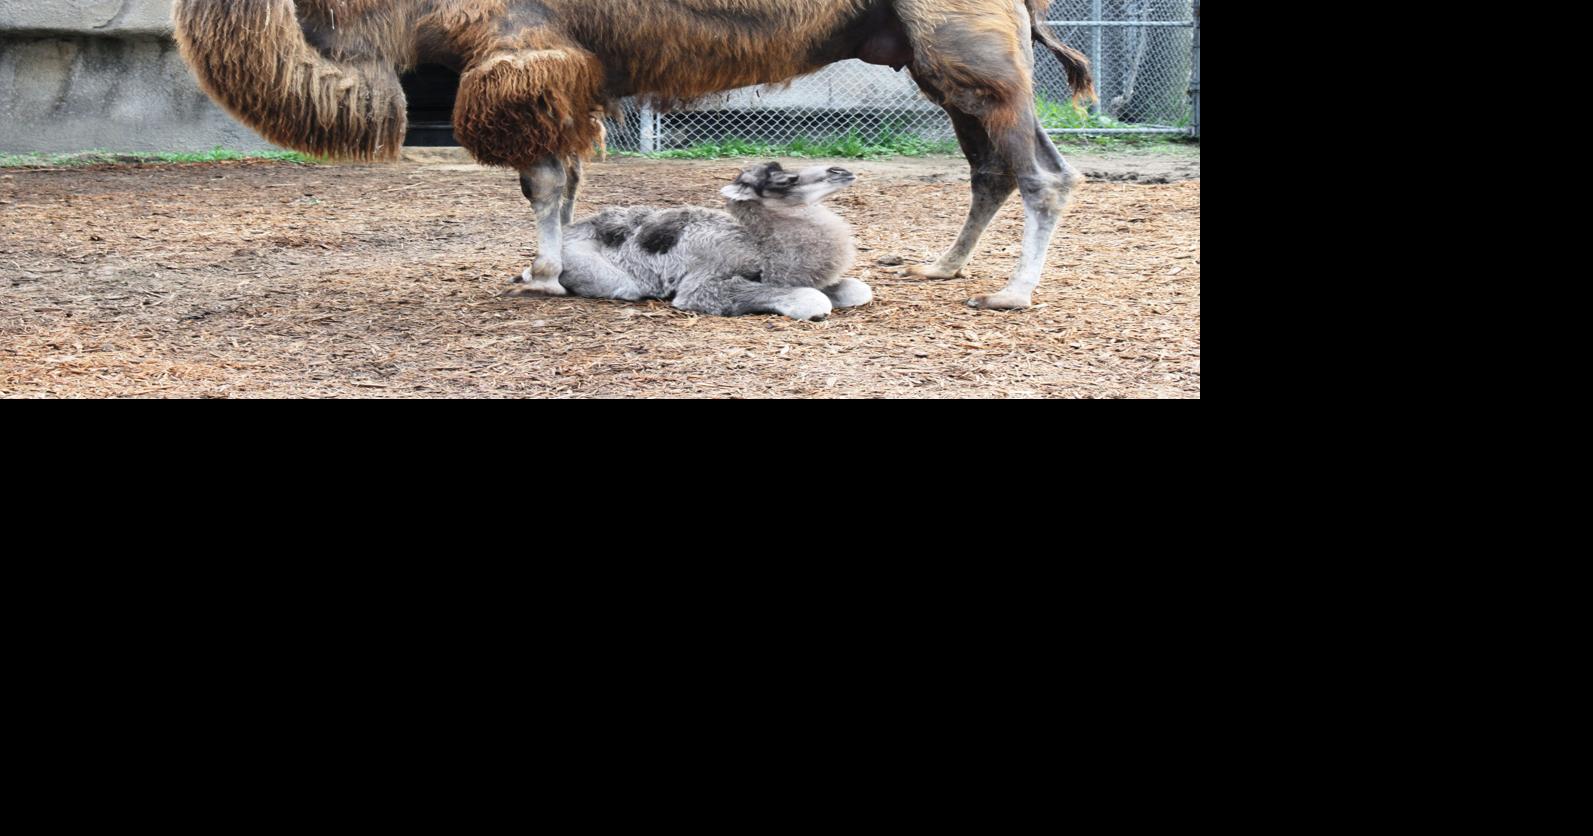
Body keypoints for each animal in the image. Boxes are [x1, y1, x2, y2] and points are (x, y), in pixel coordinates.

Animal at [172, 0, 1094, 310]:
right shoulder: (554, 71)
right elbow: (566, 183)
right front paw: (555, 268)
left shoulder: (522, 51)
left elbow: (546, 182)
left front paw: (546, 277)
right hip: (943, 56)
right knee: (992, 166)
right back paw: (942, 266)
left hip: (965, 49)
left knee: (1040, 172)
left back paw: (1009, 293)